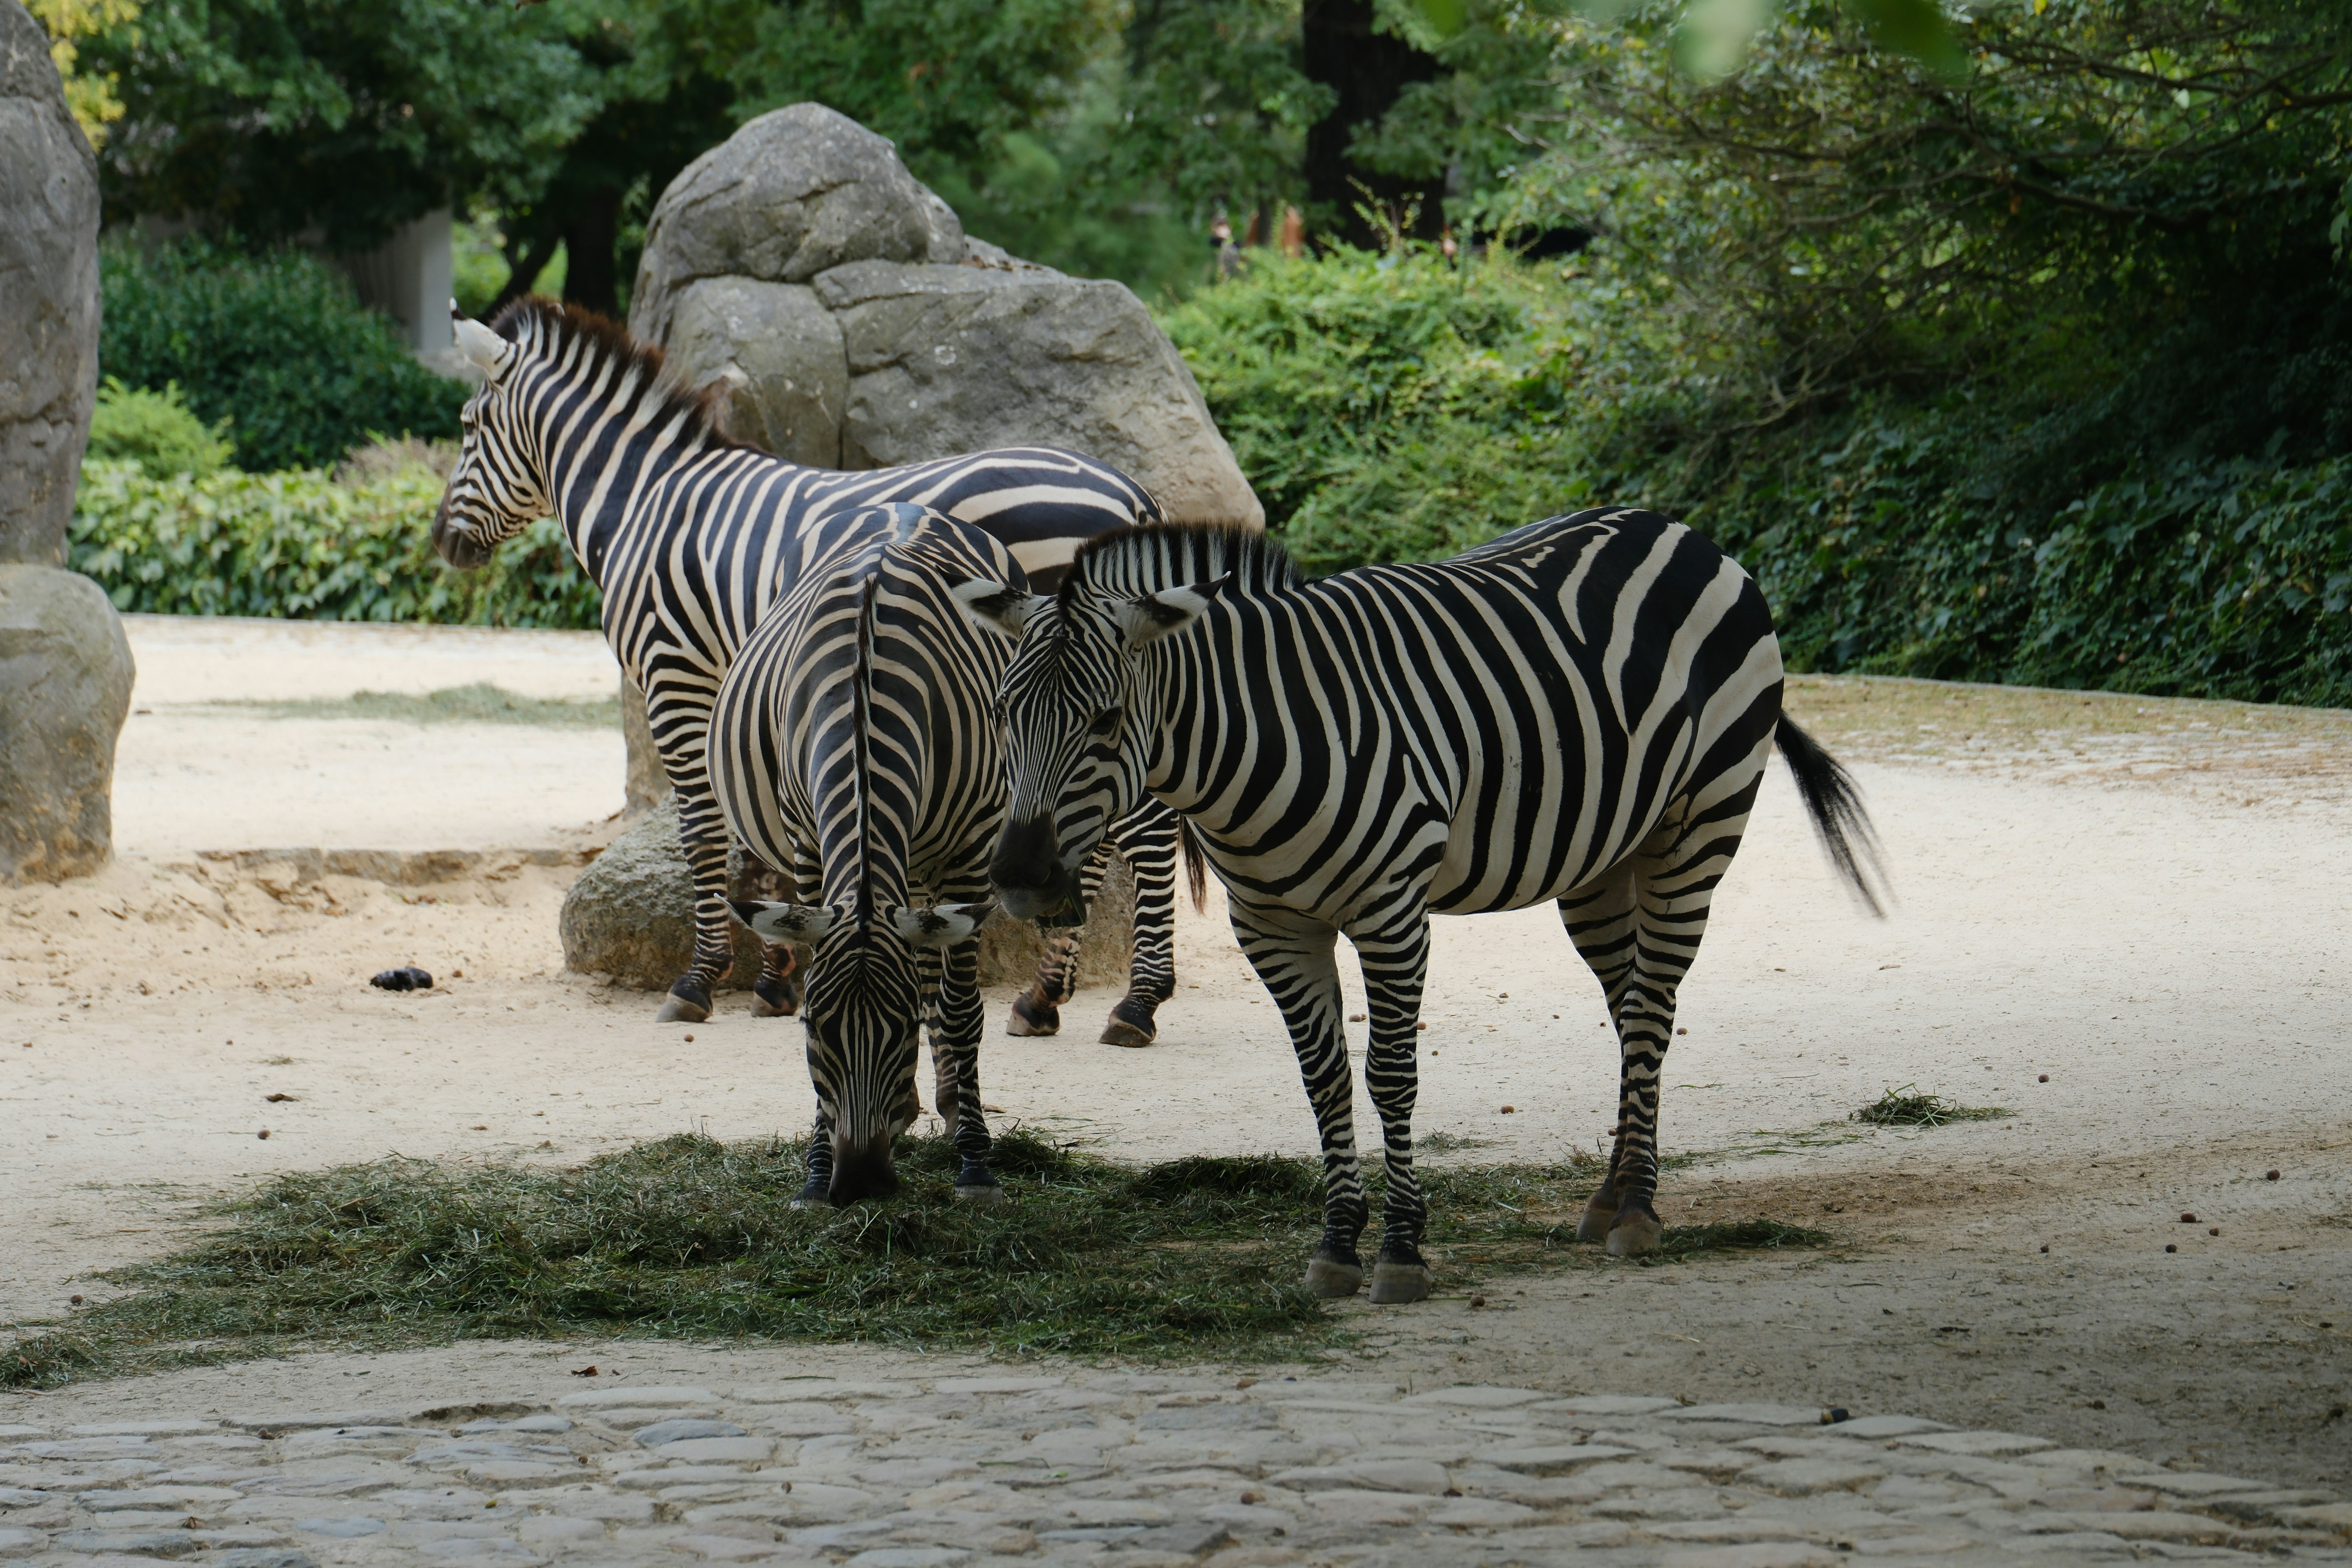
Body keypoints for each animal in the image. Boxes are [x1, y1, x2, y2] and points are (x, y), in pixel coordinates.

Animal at [434, 297, 1191, 1042]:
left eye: (469, 427)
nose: (442, 541)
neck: (648, 502)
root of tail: (1133, 494)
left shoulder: (674, 670)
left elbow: (705, 831)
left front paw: (701, 980)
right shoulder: (743, 688)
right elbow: (755, 830)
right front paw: (776, 974)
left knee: (1149, 831)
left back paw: (1136, 1003)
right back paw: (1044, 996)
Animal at [711, 504, 1023, 1204]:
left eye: (900, 1028)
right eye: (812, 1028)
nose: (861, 1181)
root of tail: (906, 506)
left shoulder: (971, 849)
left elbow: (959, 1011)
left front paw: (976, 1163)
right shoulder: (807, 844)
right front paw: (814, 1170)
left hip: (939, 862)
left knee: (941, 980)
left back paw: (951, 1112)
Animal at [948, 509, 1883, 1302]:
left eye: (1107, 721)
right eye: (999, 711)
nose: (1021, 877)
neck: (1263, 737)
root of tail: (1682, 531)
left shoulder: (1392, 913)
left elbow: (1389, 1076)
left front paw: (1400, 1250)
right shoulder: (1274, 927)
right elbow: (1323, 1078)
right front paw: (1336, 1243)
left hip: (1697, 829)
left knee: (1654, 1008)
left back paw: (1640, 1210)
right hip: (1600, 861)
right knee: (1630, 1012)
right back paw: (1610, 1193)